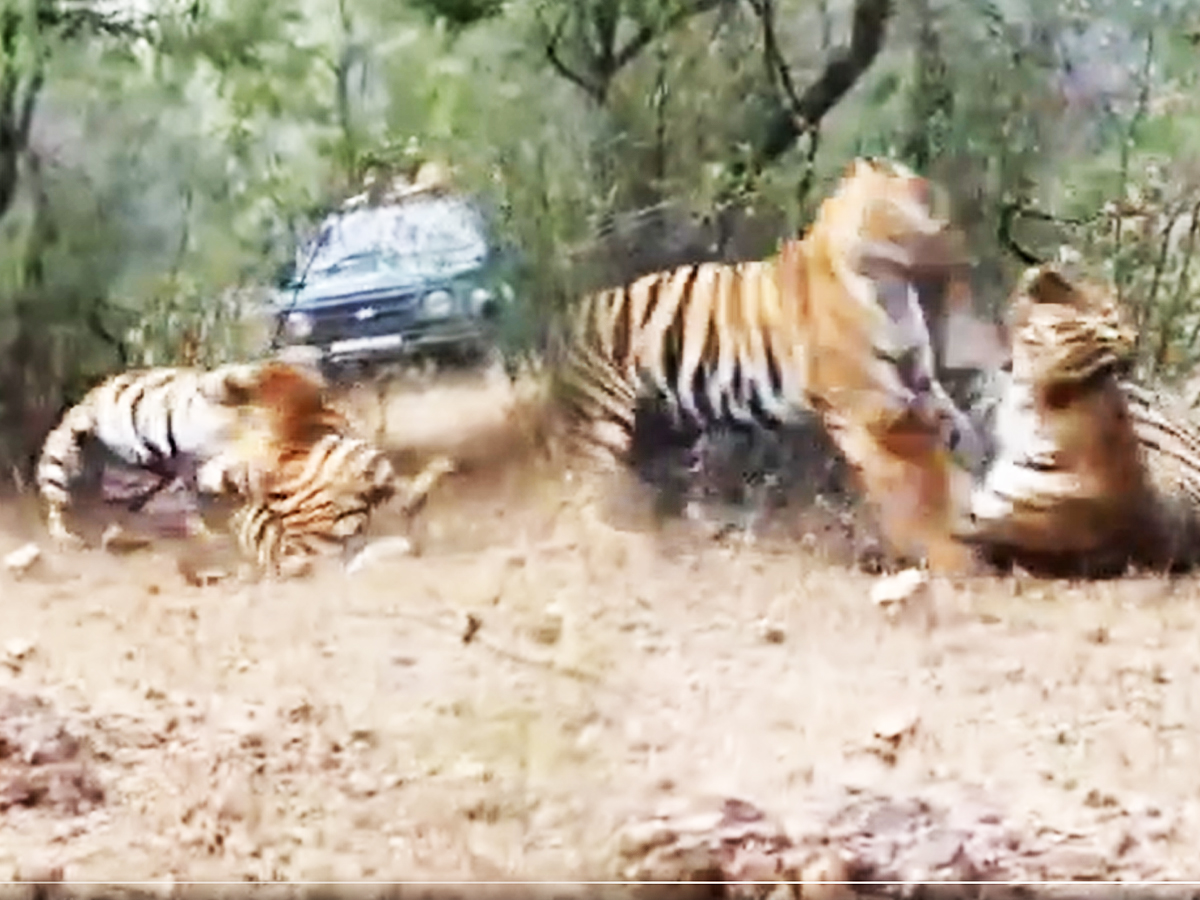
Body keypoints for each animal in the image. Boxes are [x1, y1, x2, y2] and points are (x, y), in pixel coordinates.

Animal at [34, 358, 337, 548]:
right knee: (56, 504)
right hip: (61, 458)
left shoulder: (210, 467)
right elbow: (243, 377)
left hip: (152, 474)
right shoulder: (210, 391)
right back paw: (66, 536)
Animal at [550, 157, 986, 572]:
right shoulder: (869, 406)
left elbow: (958, 427)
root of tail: (564, 317)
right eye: (899, 178)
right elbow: (907, 483)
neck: (889, 282)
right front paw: (945, 552)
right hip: (602, 419)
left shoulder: (920, 382)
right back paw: (625, 543)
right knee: (578, 495)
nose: (931, 191)